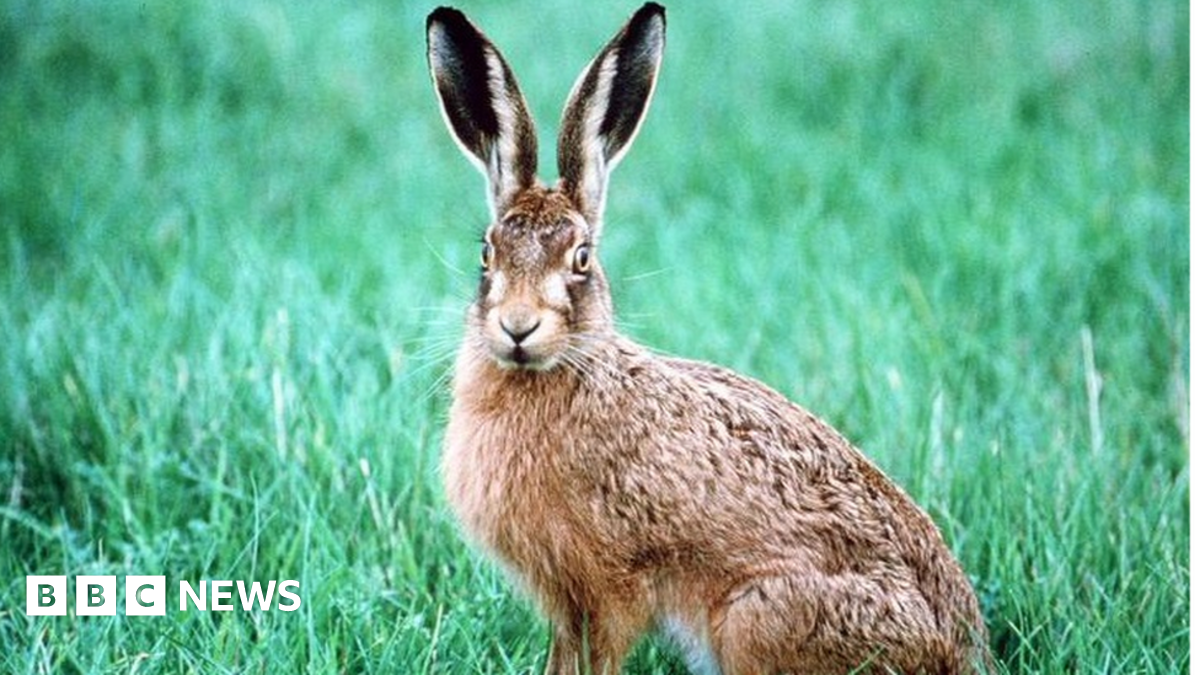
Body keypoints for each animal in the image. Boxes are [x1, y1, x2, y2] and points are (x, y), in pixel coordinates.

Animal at [427, 4, 992, 674]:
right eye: (487, 254)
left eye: (582, 258)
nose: (517, 327)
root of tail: (958, 653)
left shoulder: (609, 586)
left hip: (760, 619)